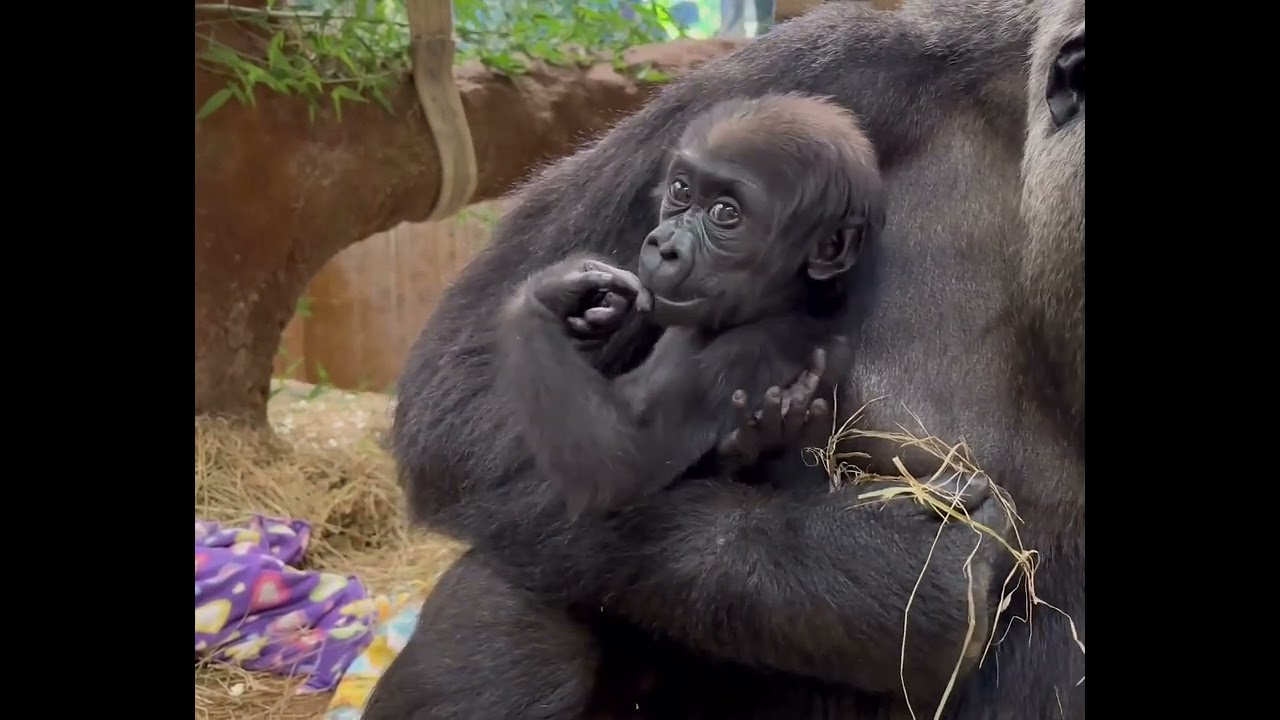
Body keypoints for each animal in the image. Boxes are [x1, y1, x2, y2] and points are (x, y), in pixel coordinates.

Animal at [495, 94, 884, 519]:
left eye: (725, 213)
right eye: (681, 190)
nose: (665, 247)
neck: (785, 303)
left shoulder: (754, 350)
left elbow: (623, 459)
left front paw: (545, 295)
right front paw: (589, 305)